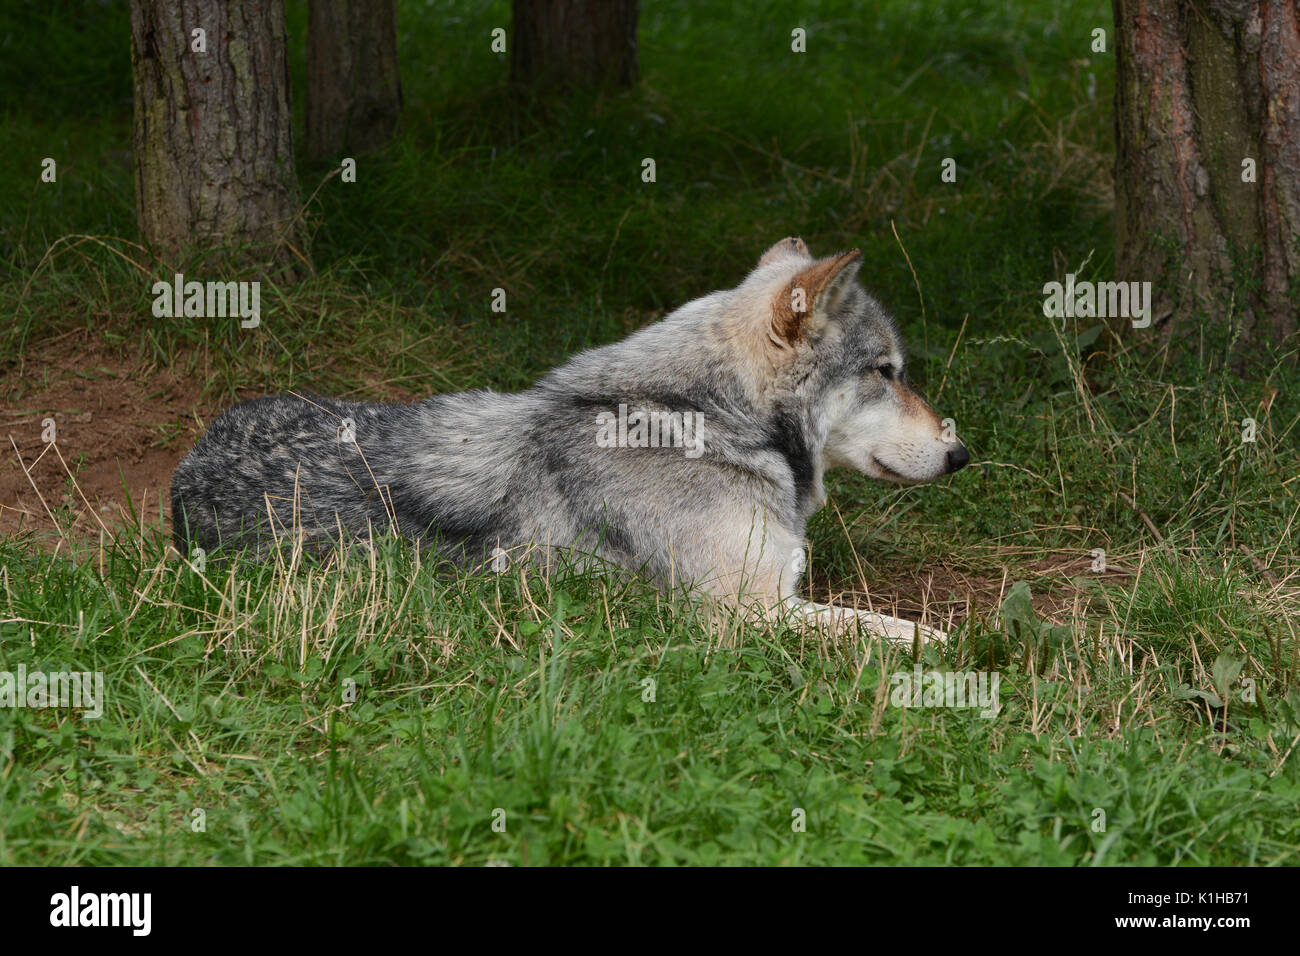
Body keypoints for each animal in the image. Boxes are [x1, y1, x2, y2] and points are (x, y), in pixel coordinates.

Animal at [171, 238, 970, 642]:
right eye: (887, 372)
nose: (962, 454)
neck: (711, 421)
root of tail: (188, 467)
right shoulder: (741, 613)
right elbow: (898, 631)